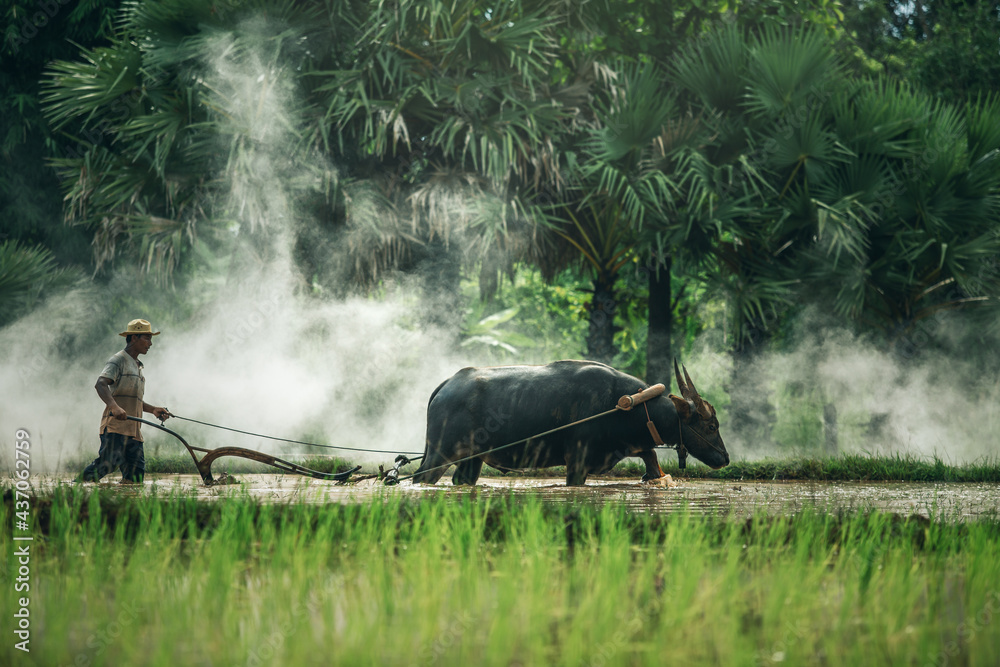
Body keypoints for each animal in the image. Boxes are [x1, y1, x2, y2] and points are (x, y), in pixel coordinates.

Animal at [411, 359, 728, 486]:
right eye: (711, 426)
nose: (724, 458)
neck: (623, 406)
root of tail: (447, 385)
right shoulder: (577, 461)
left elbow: (651, 460)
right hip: (440, 453)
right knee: (419, 478)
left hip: (471, 460)